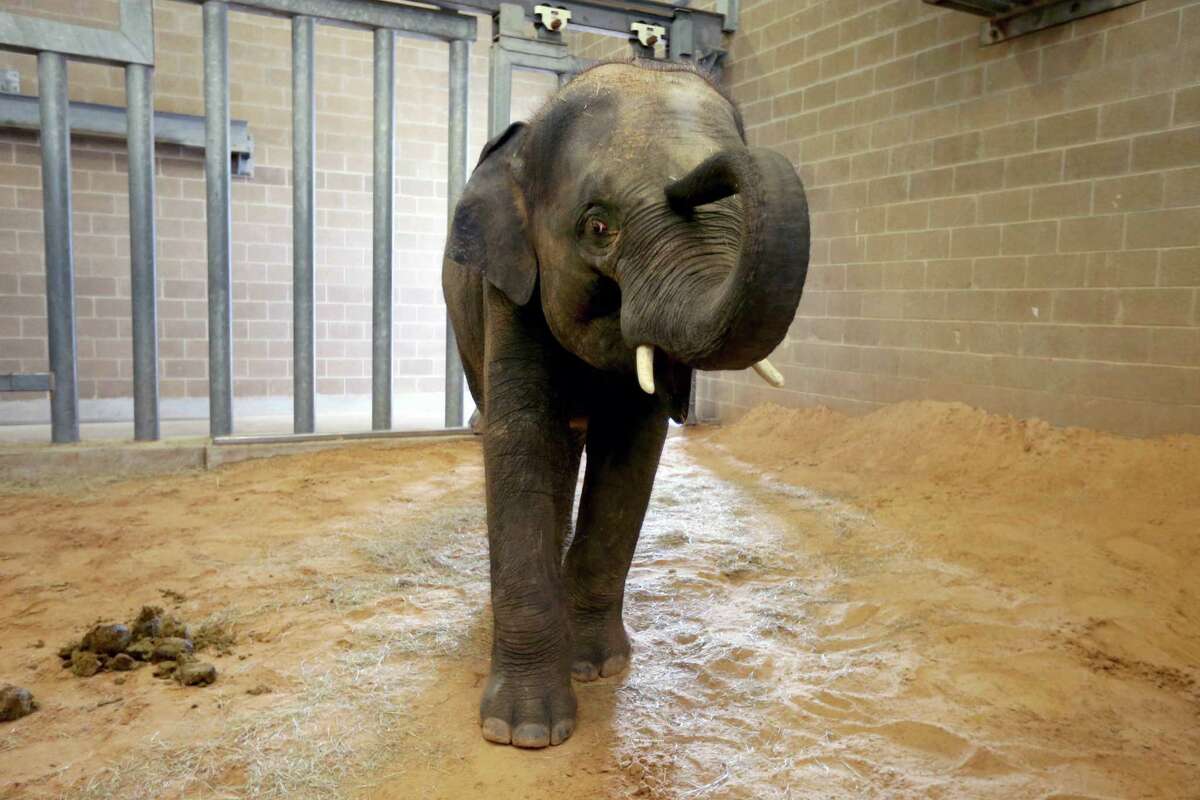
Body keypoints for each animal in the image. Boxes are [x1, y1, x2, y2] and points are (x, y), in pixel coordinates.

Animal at [441, 59, 810, 748]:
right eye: (598, 227)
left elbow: (633, 451)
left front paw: (598, 667)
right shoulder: (508, 290)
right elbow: (522, 440)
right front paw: (525, 733)